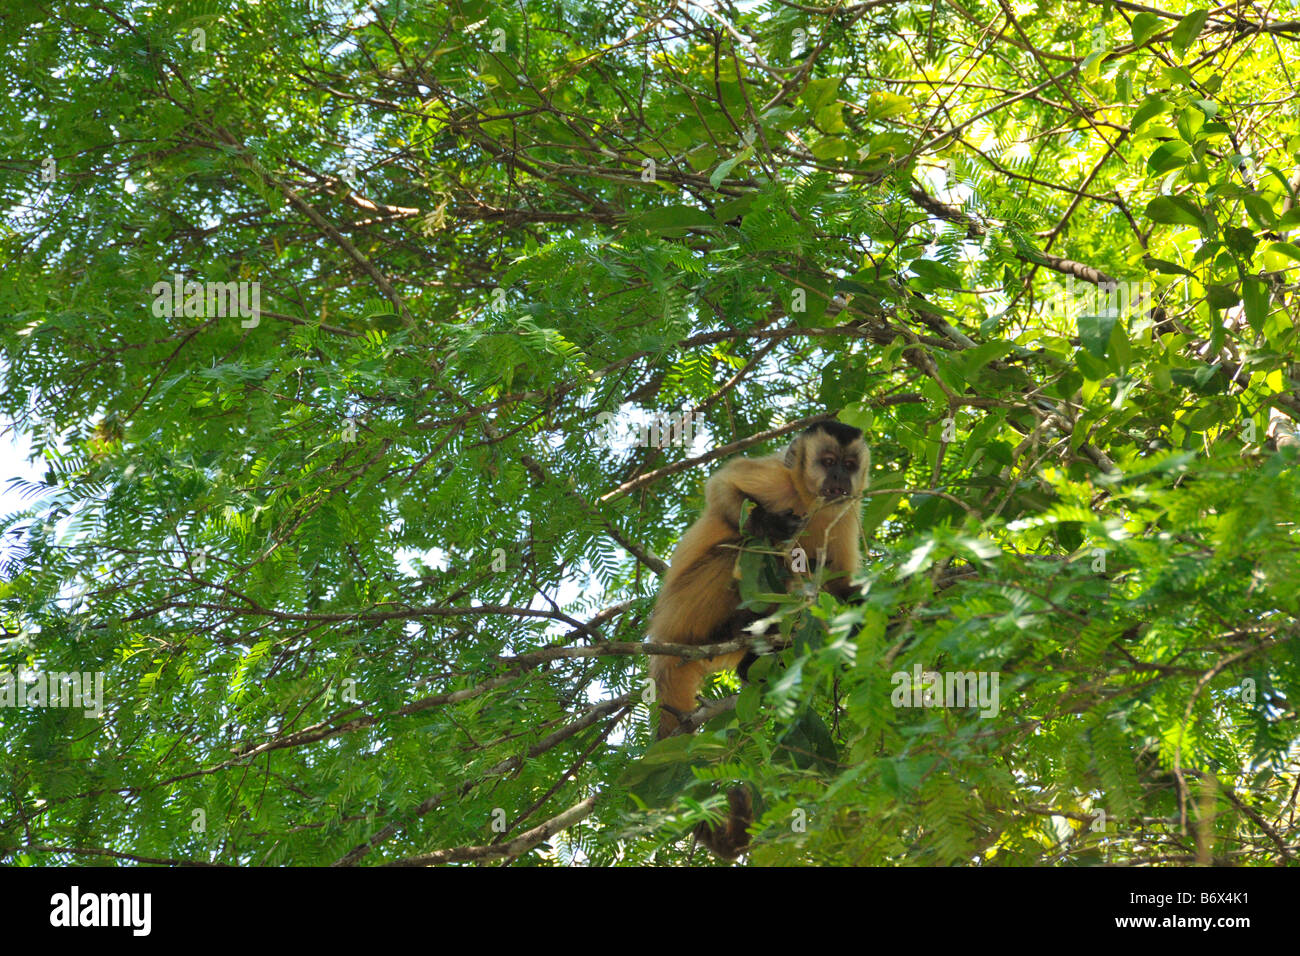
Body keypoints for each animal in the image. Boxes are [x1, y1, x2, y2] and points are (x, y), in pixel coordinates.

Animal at [645, 419, 870, 857]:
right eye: (828, 461)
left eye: (850, 465)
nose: (839, 478)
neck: (808, 498)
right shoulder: (777, 481)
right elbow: (723, 488)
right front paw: (766, 524)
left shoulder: (846, 511)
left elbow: (838, 583)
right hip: (687, 609)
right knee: (742, 551)